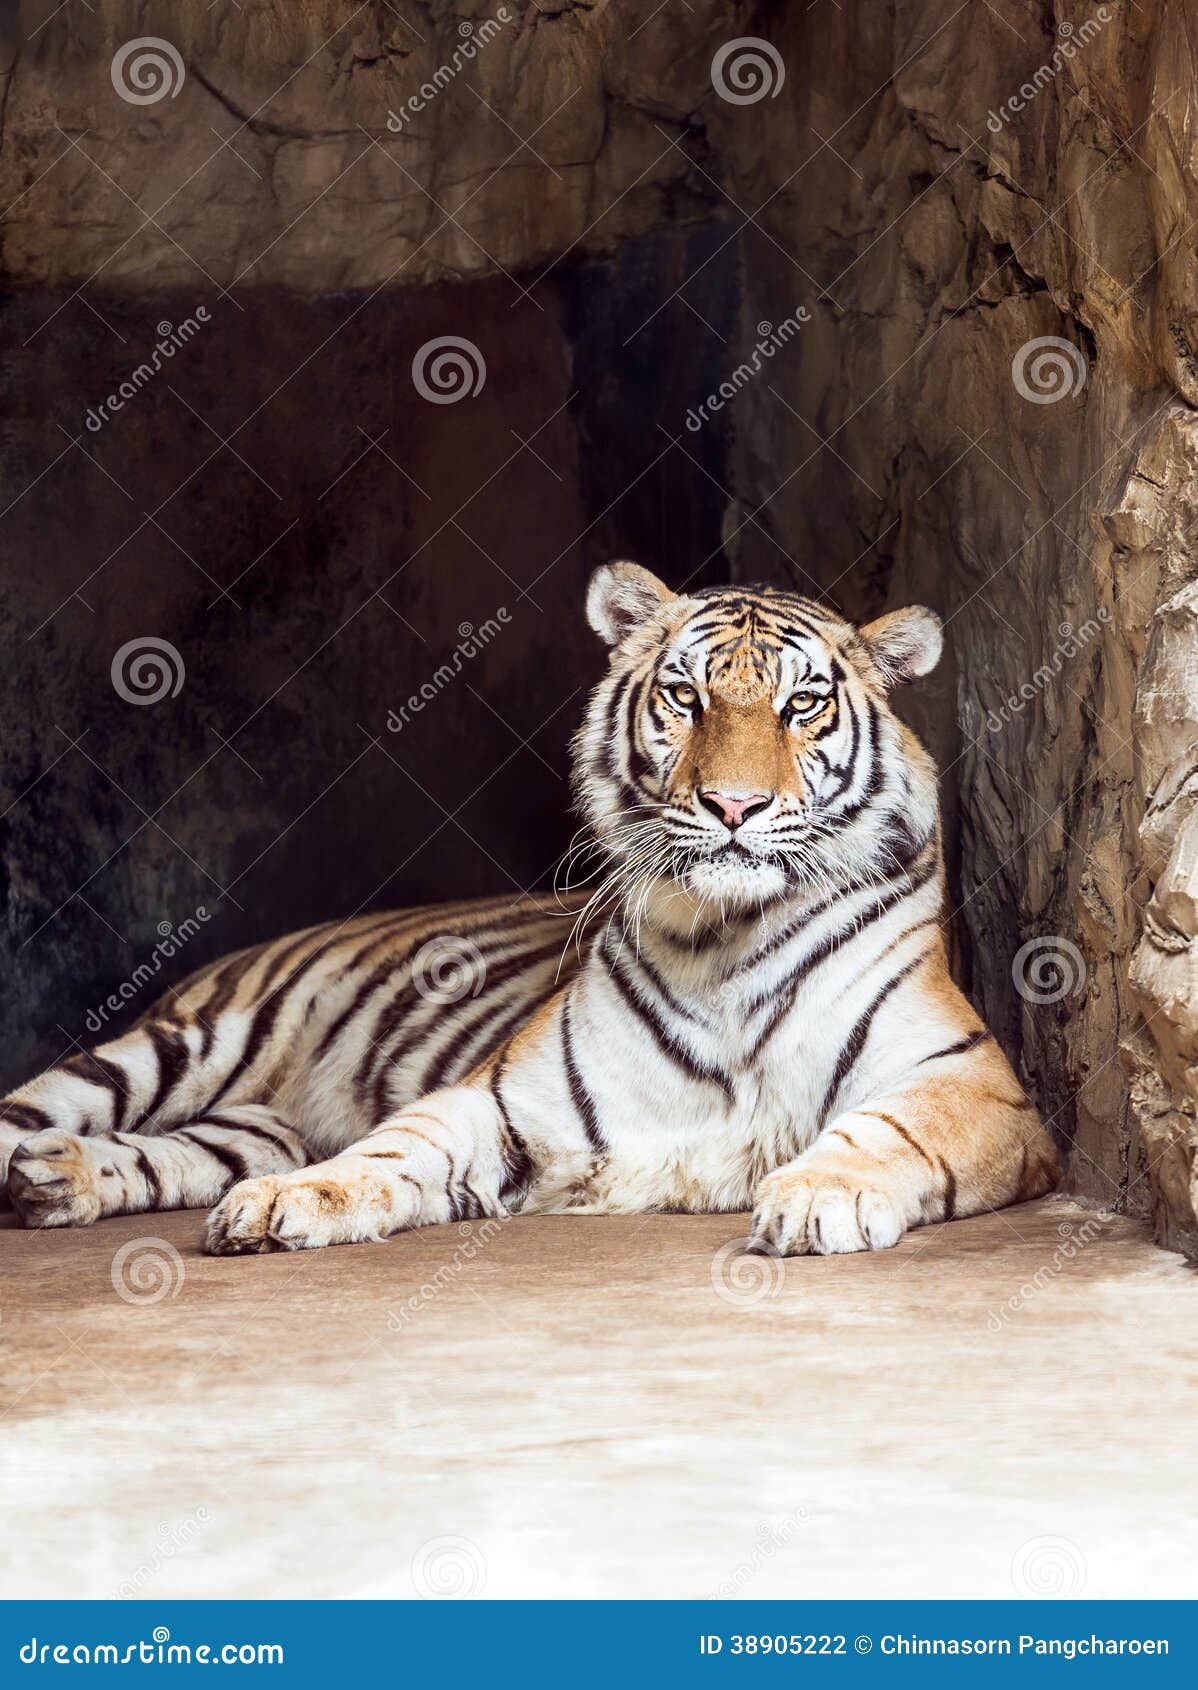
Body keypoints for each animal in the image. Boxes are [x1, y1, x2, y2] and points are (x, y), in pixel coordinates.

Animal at [0, 562, 1059, 1256]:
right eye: (685, 697)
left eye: (802, 707)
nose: (734, 806)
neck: (728, 941)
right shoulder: (508, 1099)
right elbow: (399, 1144)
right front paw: (289, 1203)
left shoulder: (974, 1082)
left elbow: (889, 1131)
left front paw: (815, 1197)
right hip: (184, 1042)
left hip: (246, 1119)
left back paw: (55, 1181)